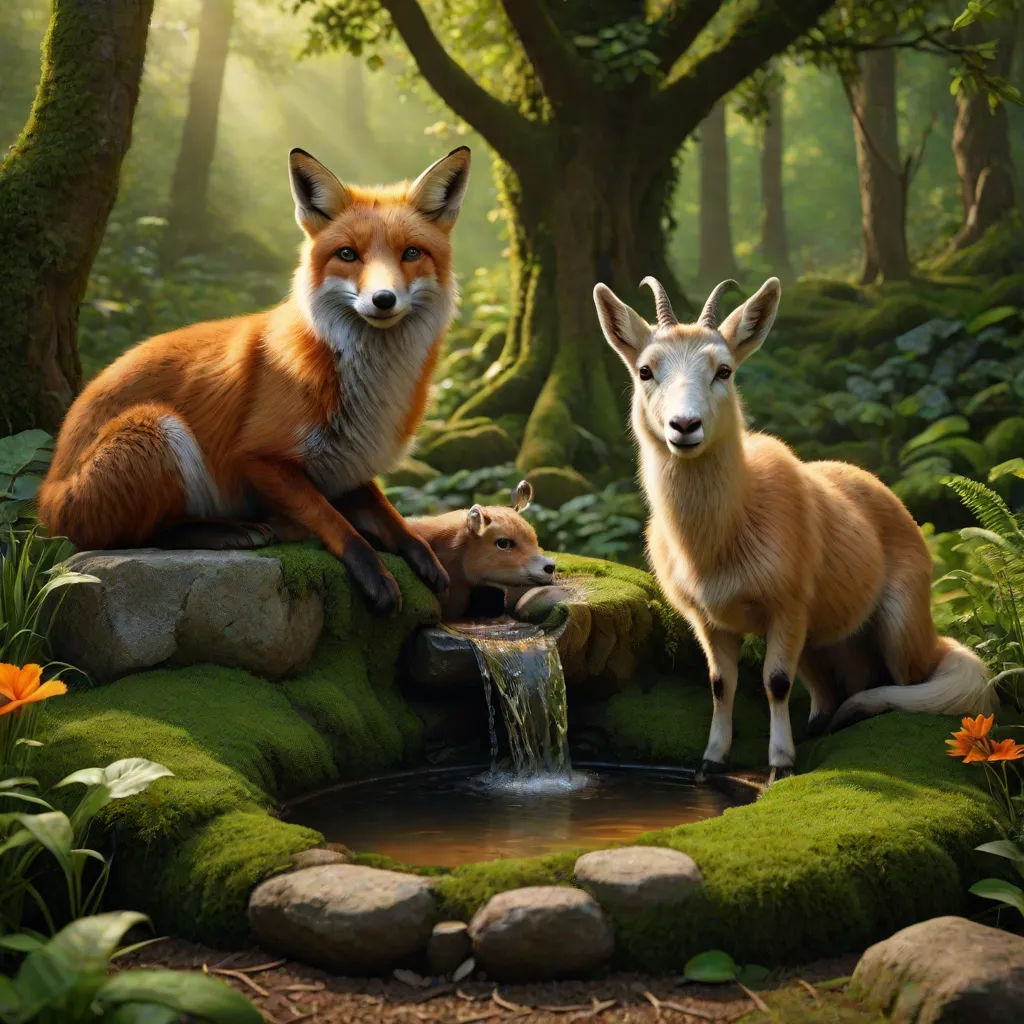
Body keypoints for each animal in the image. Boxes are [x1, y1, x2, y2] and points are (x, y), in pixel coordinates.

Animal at [38, 146, 473, 614]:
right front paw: (372, 571)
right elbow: (334, 521)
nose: (383, 299)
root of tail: (44, 494)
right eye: (348, 254)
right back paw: (230, 529)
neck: (368, 391)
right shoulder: (257, 458)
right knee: (133, 536)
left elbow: (390, 515)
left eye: (410, 253)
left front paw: (422, 555)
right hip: (153, 429)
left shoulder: (347, 465)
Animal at [593, 275, 995, 783]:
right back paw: (824, 722)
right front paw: (711, 760)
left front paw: (780, 765)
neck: (720, 540)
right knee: (837, 684)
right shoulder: (707, 619)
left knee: (915, 676)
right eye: (645, 371)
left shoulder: (788, 606)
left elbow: (776, 682)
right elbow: (720, 683)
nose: (684, 426)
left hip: (901, 625)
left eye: (724, 370)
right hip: (823, 643)